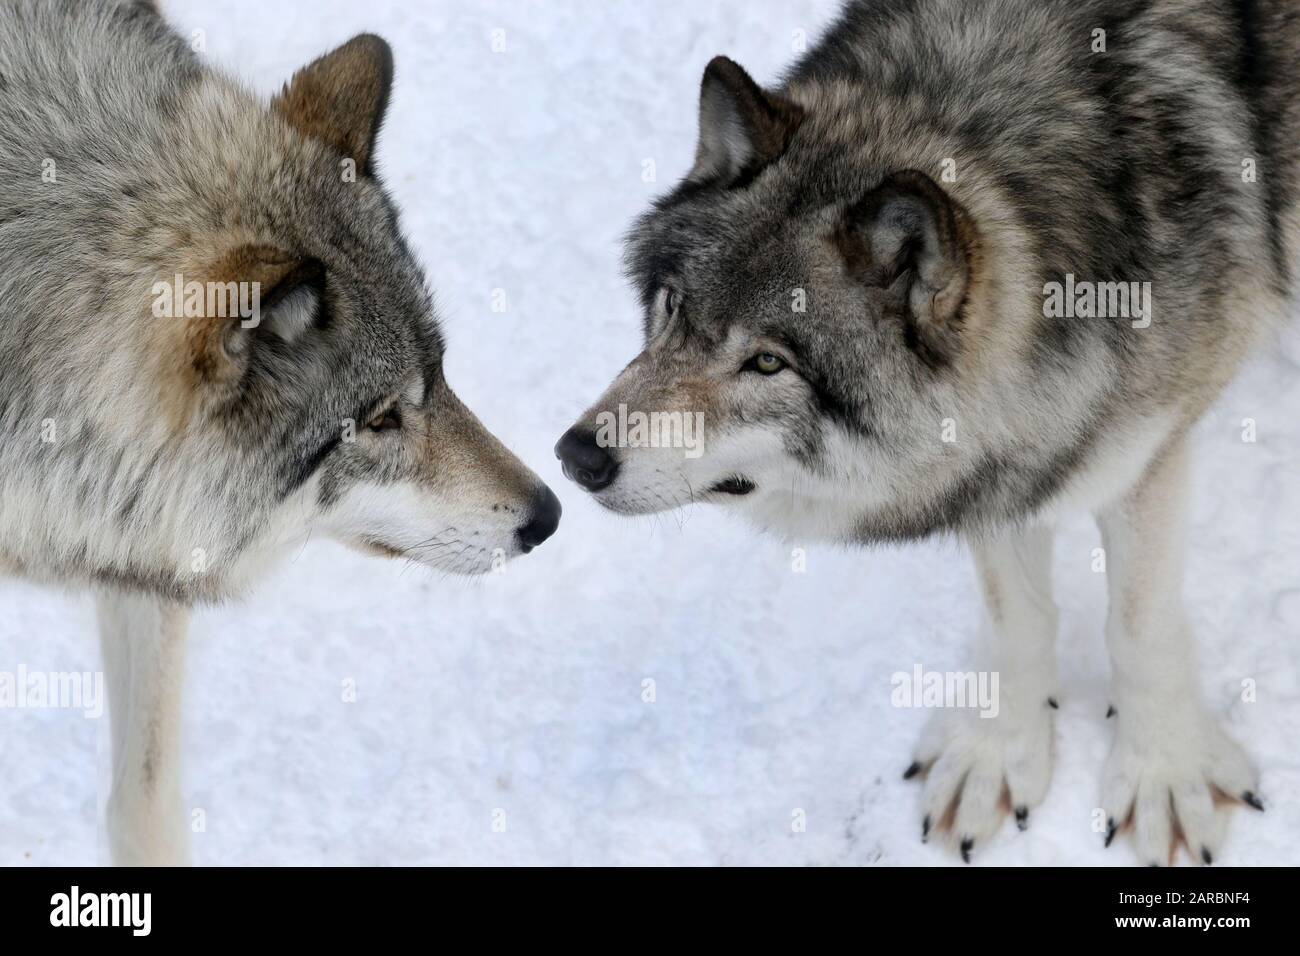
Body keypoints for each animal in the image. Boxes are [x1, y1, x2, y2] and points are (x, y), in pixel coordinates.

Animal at [558, 0, 1299, 864]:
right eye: (673, 307)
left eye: (769, 362)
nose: (577, 455)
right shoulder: (1002, 464)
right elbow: (1016, 617)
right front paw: (997, 756)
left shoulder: (1145, 449)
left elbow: (1138, 620)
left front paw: (1163, 777)